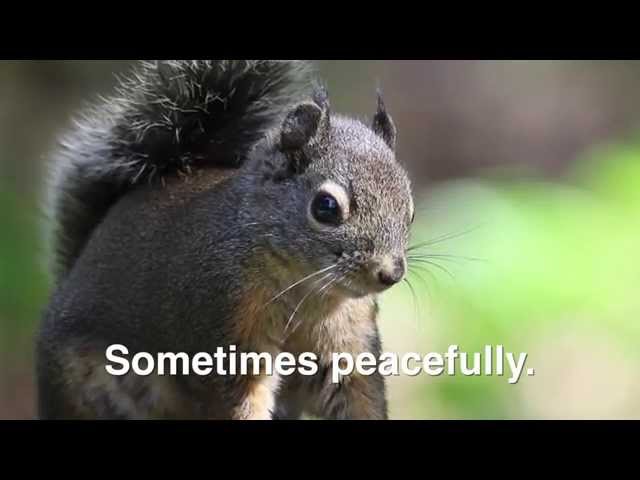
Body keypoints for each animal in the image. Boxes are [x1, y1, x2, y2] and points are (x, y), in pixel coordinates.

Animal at [36, 60, 415, 420]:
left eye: (409, 211)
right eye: (326, 207)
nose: (390, 273)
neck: (305, 291)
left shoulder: (349, 342)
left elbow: (358, 396)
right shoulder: (227, 328)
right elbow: (241, 399)